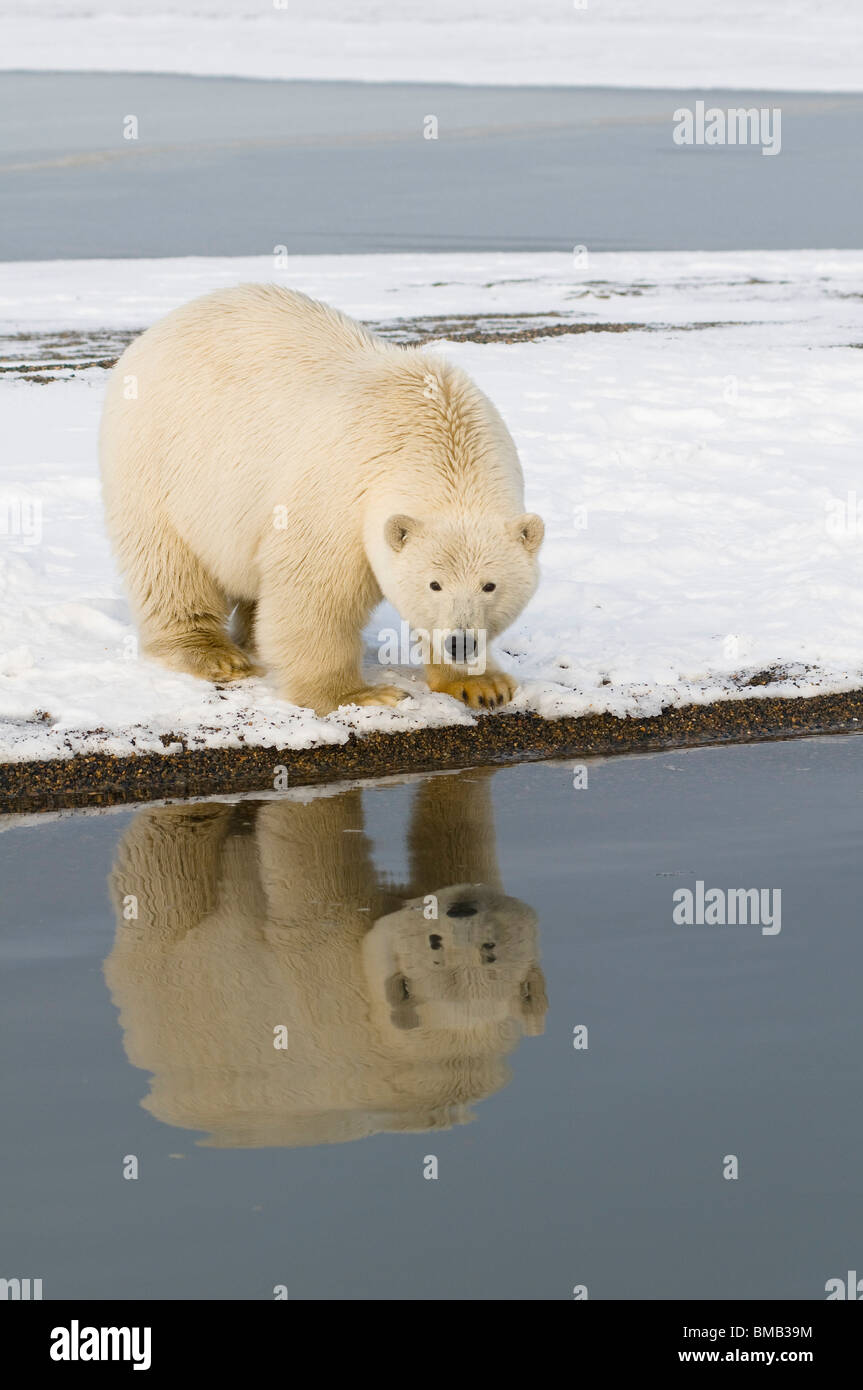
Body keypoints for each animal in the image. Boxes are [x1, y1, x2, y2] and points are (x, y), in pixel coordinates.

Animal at [99, 284, 544, 715]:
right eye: (434, 583)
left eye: (490, 585)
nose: (461, 642)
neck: (436, 432)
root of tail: (159, 328)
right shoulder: (340, 492)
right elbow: (315, 594)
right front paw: (359, 695)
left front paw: (483, 684)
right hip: (157, 460)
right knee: (169, 563)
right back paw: (215, 655)